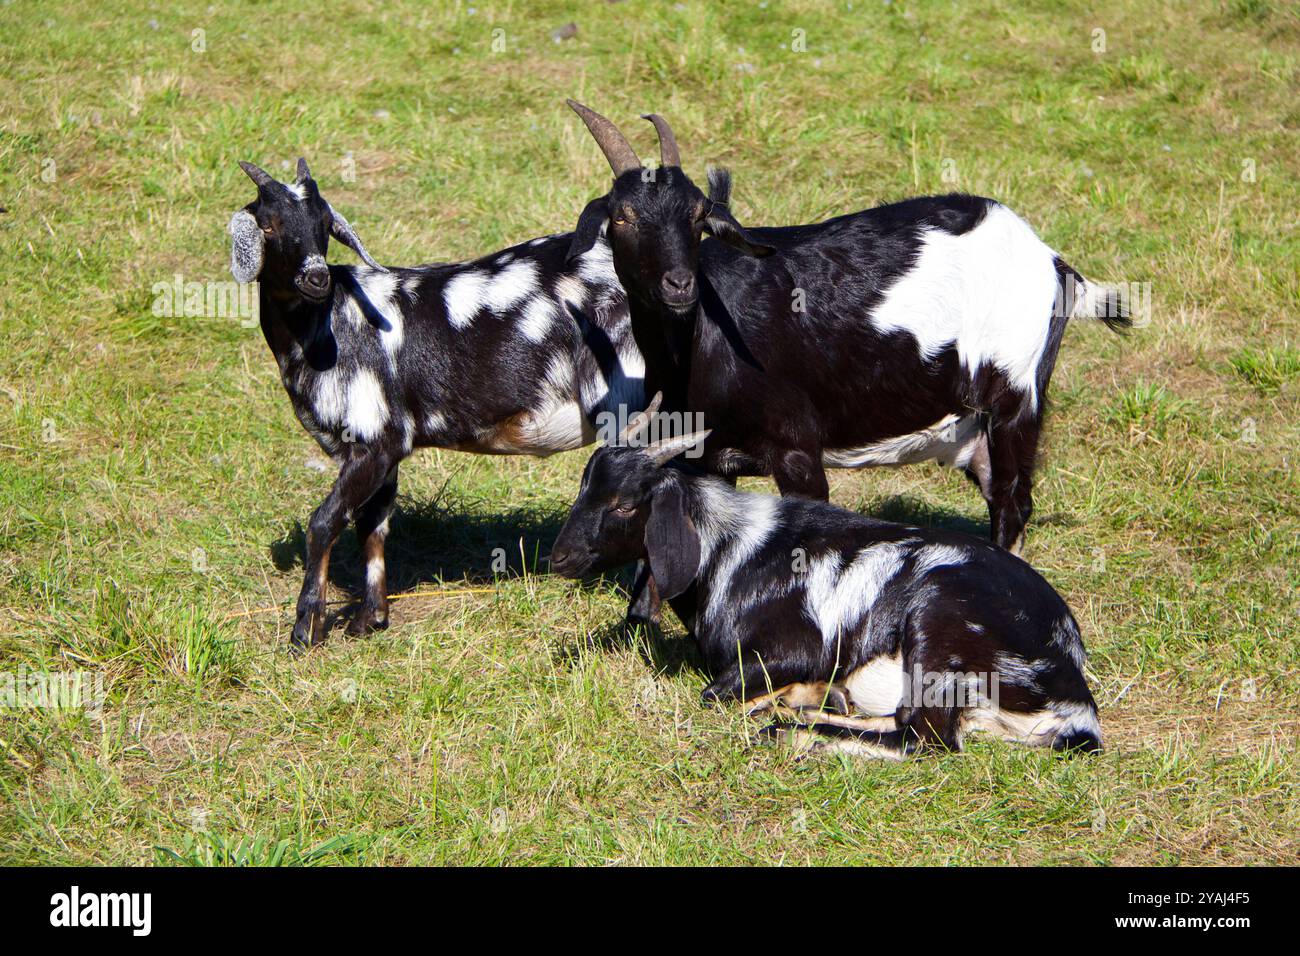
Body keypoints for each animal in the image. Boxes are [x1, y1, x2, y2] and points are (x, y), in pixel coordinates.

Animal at [229, 158, 642, 647]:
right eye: (268, 224)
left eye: (324, 224)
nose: (317, 278)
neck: (329, 324)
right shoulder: (385, 451)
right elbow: (373, 525)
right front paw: (370, 620)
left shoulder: (375, 439)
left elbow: (324, 522)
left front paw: (305, 628)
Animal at [548, 402, 1102, 758]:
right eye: (583, 487)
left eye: (624, 504)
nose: (560, 558)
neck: (727, 552)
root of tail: (1073, 699)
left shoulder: (795, 648)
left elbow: (713, 692)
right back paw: (812, 703)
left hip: (938, 628)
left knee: (924, 741)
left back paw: (788, 727)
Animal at [565, 102, 1130, 556]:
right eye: (621, 217)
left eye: (700, 215)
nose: (679, 284)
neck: (700, 341)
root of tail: (1053, 263)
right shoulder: (702, 457)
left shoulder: (797, 449)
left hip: (1016, 392)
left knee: (1013, 502)